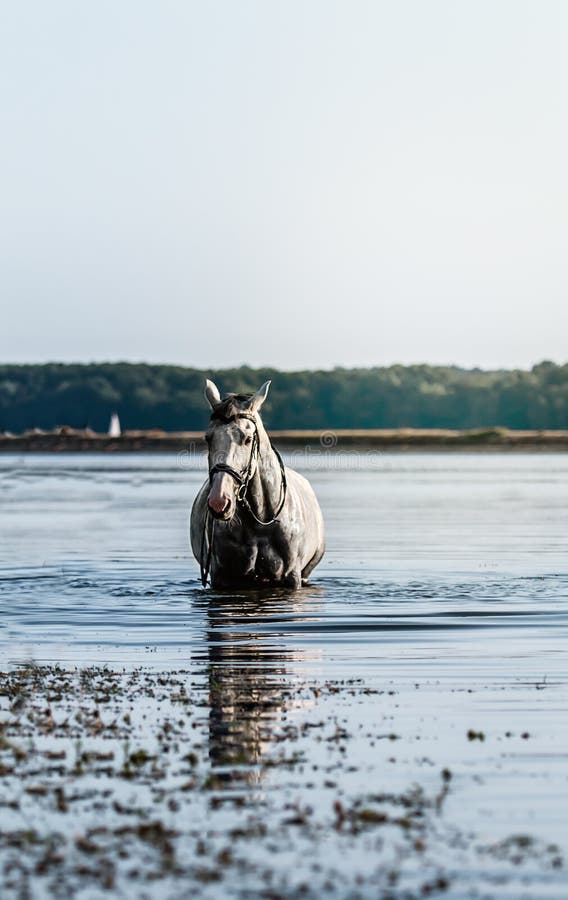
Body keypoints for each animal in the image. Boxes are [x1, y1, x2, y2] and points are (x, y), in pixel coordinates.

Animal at [190, 379, 325, 590]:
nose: (219, 502)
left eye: (248, 439)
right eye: (208, 438)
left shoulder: (292, 576)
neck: (260, 520)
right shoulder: (220, 577)